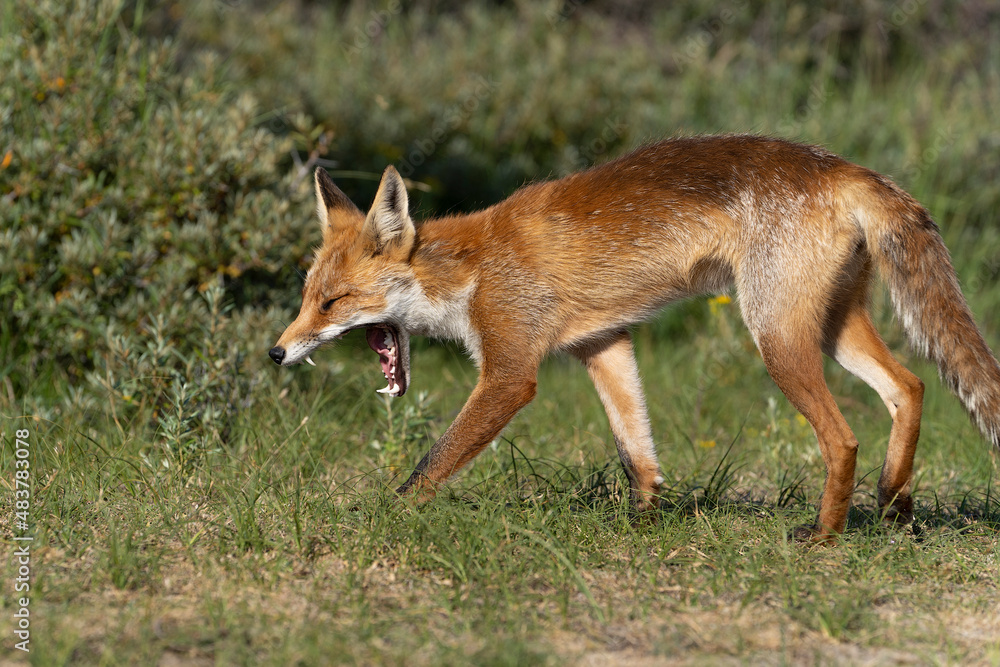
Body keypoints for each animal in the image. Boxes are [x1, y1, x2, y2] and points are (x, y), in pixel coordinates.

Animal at [269, 134, 1000, 540]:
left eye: (333, 302)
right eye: (307, 298)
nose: (276, 351)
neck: (470, 270)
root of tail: (845, 167)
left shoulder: (510, 372)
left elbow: (431, 461)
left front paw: (385, 515)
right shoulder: (603, 344)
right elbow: (635, 449)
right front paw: (645, 521)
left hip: (777, 338)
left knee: (844, 436)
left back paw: (826, 534)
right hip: (829, 328)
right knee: (909, 386)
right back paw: (895, 506)